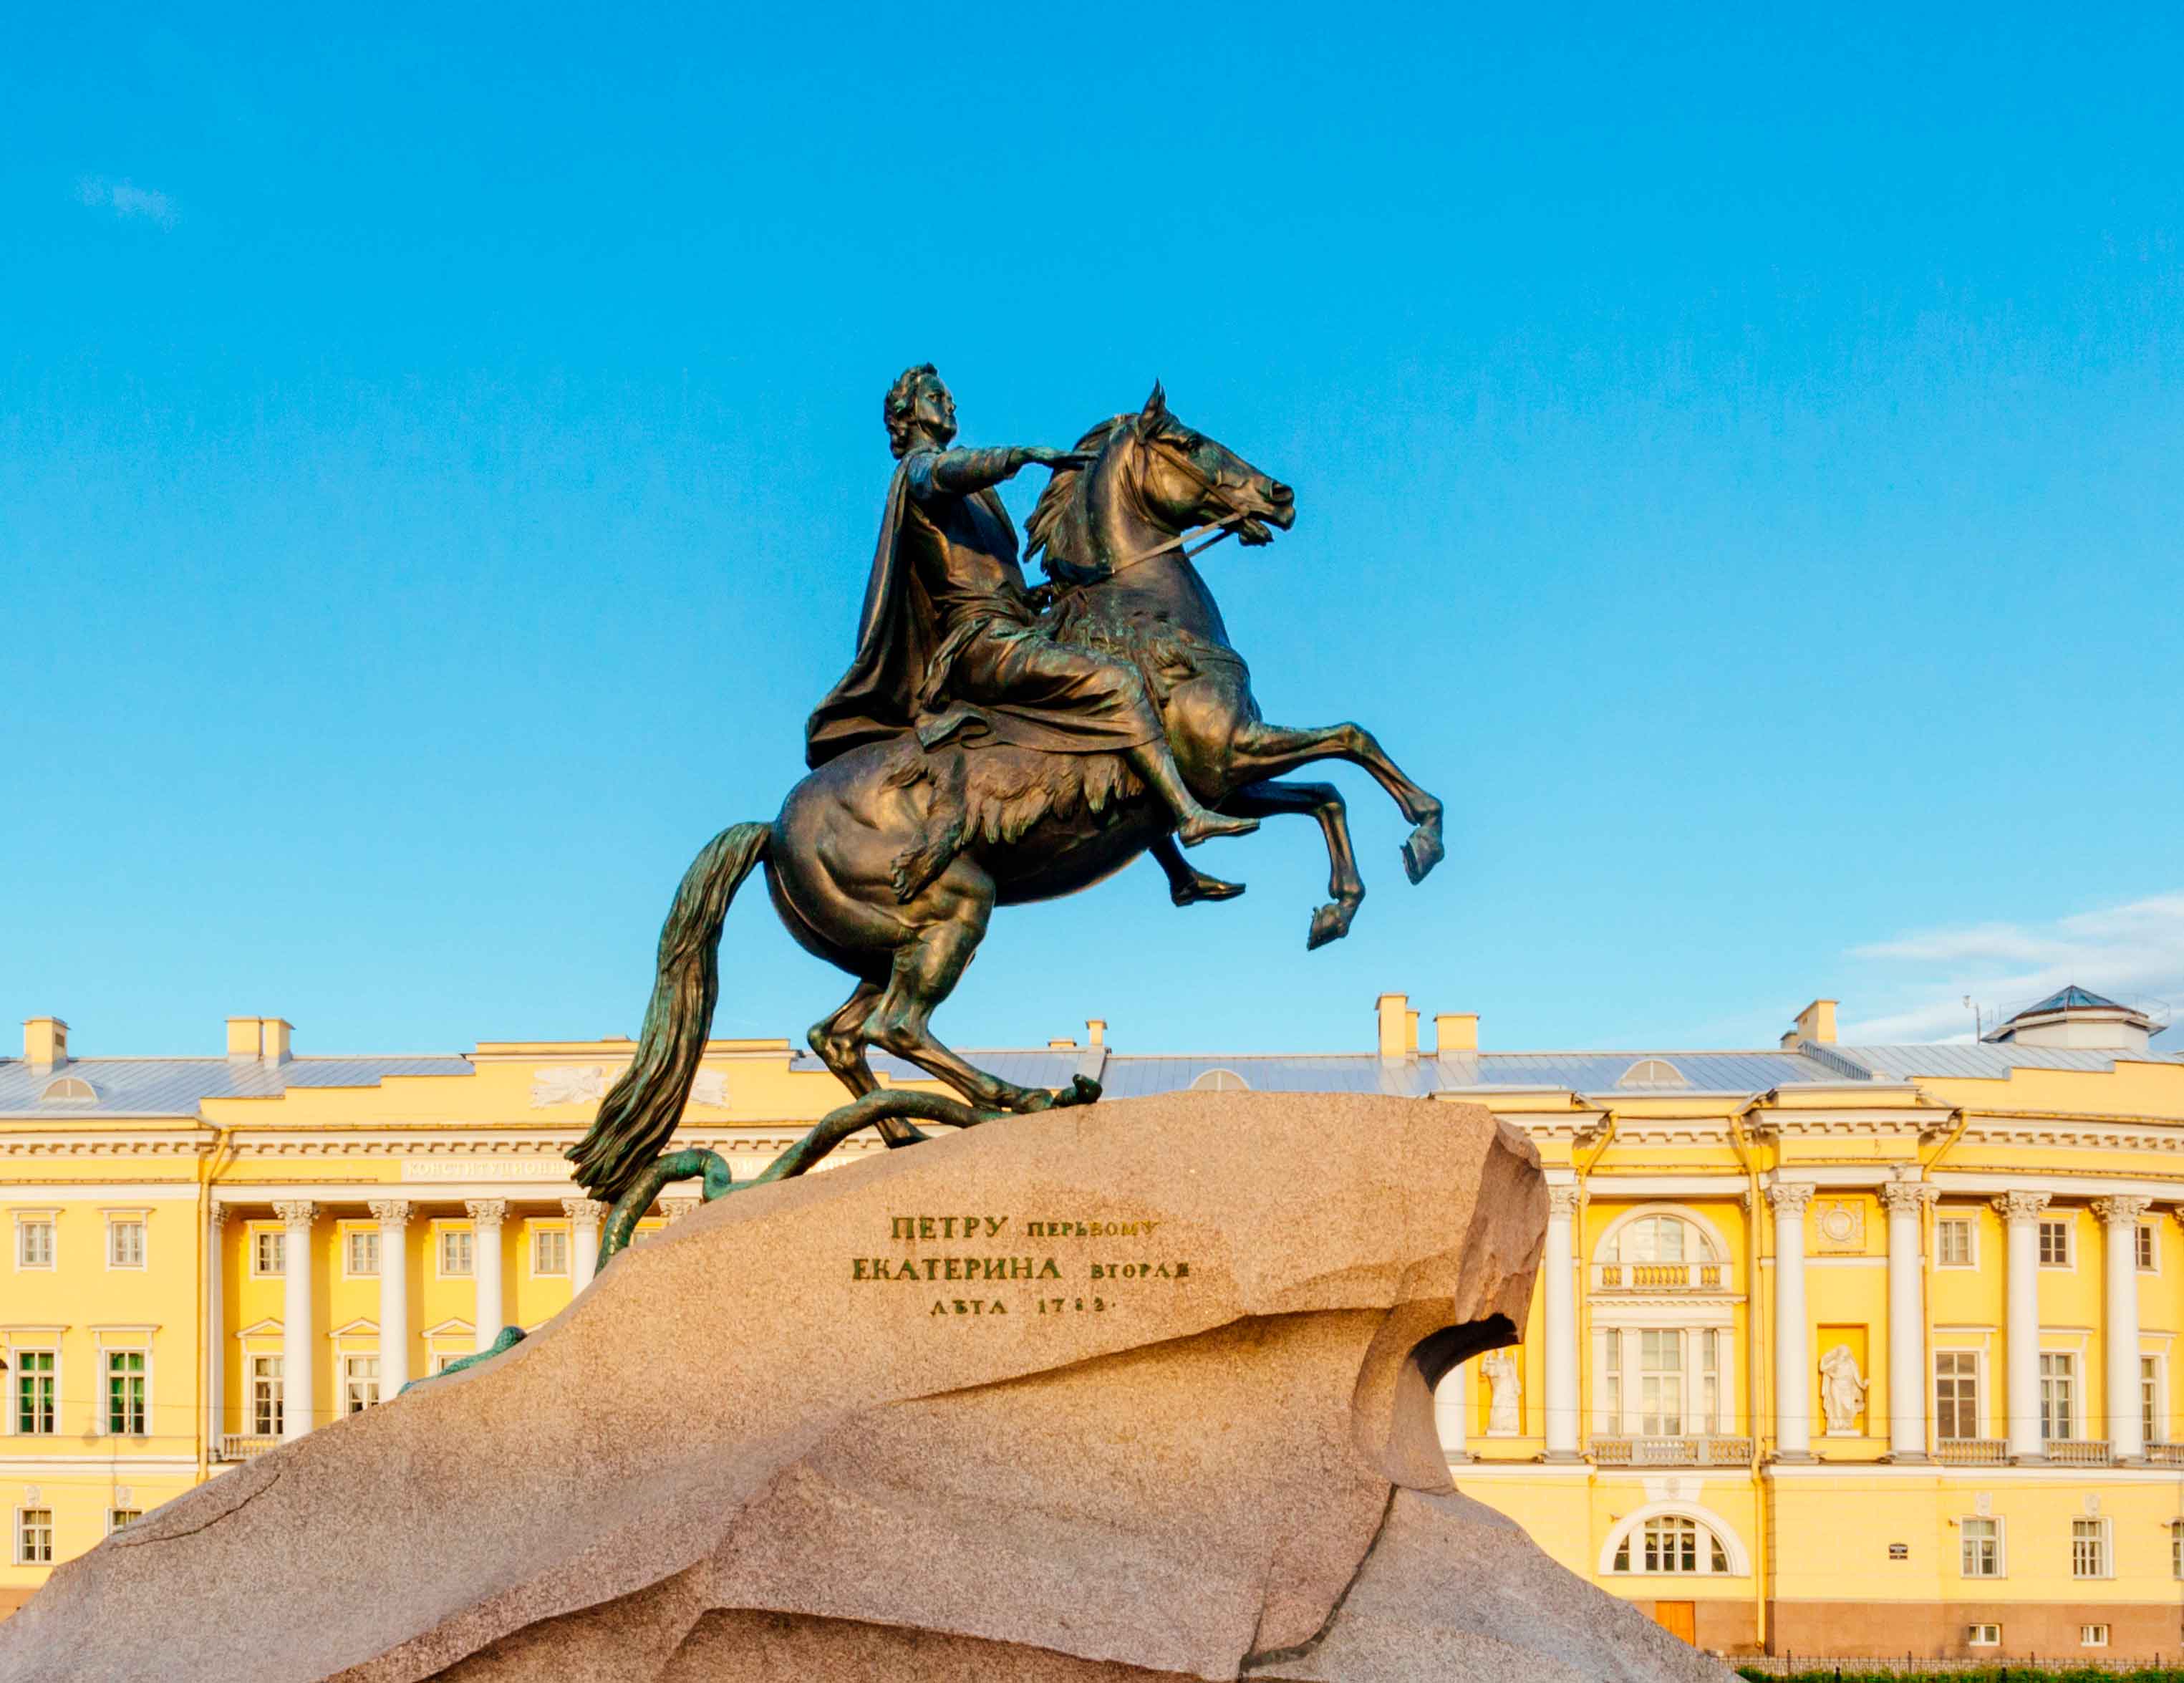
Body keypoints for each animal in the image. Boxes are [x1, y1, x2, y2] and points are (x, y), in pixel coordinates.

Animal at [572, 385, 1441, 1206]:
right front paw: (1422, 835)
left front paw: (1335, 908)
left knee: (841, 1036)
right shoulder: (1226, 758)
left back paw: (906, 1135)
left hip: (884, 942)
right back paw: (1018, 1097)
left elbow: (1326, 792)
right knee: (899, 1026)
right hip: (956, 905)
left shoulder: (1234, 774)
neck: (1143, 617)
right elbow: (1351, 743)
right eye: (1189, 441)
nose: (1280, 496)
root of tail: (772, 826)